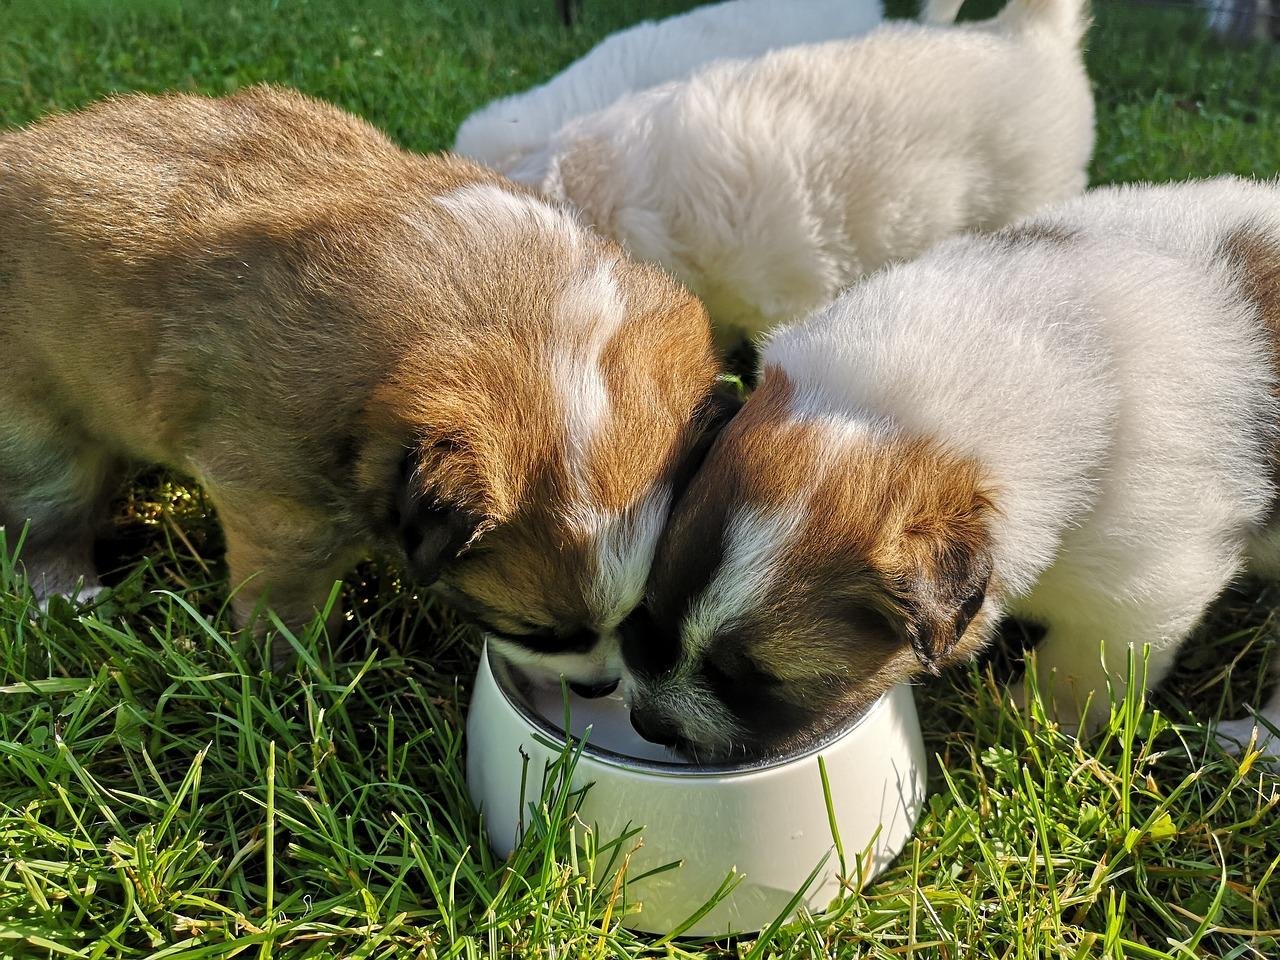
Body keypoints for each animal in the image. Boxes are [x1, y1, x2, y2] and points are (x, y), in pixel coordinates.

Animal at [0, 80, 732, 686]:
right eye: (540, 634)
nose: (601, 686)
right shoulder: (279, 512)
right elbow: (285, 604)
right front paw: (292, 673)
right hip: (41, 445)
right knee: (49, 520)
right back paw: (66, 598)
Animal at [619, 176, 1280, 762]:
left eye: (754, 678)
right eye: (647, 613)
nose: (648, 724)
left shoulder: (1145, 583)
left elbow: (1085, 662)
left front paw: (1034, 717)